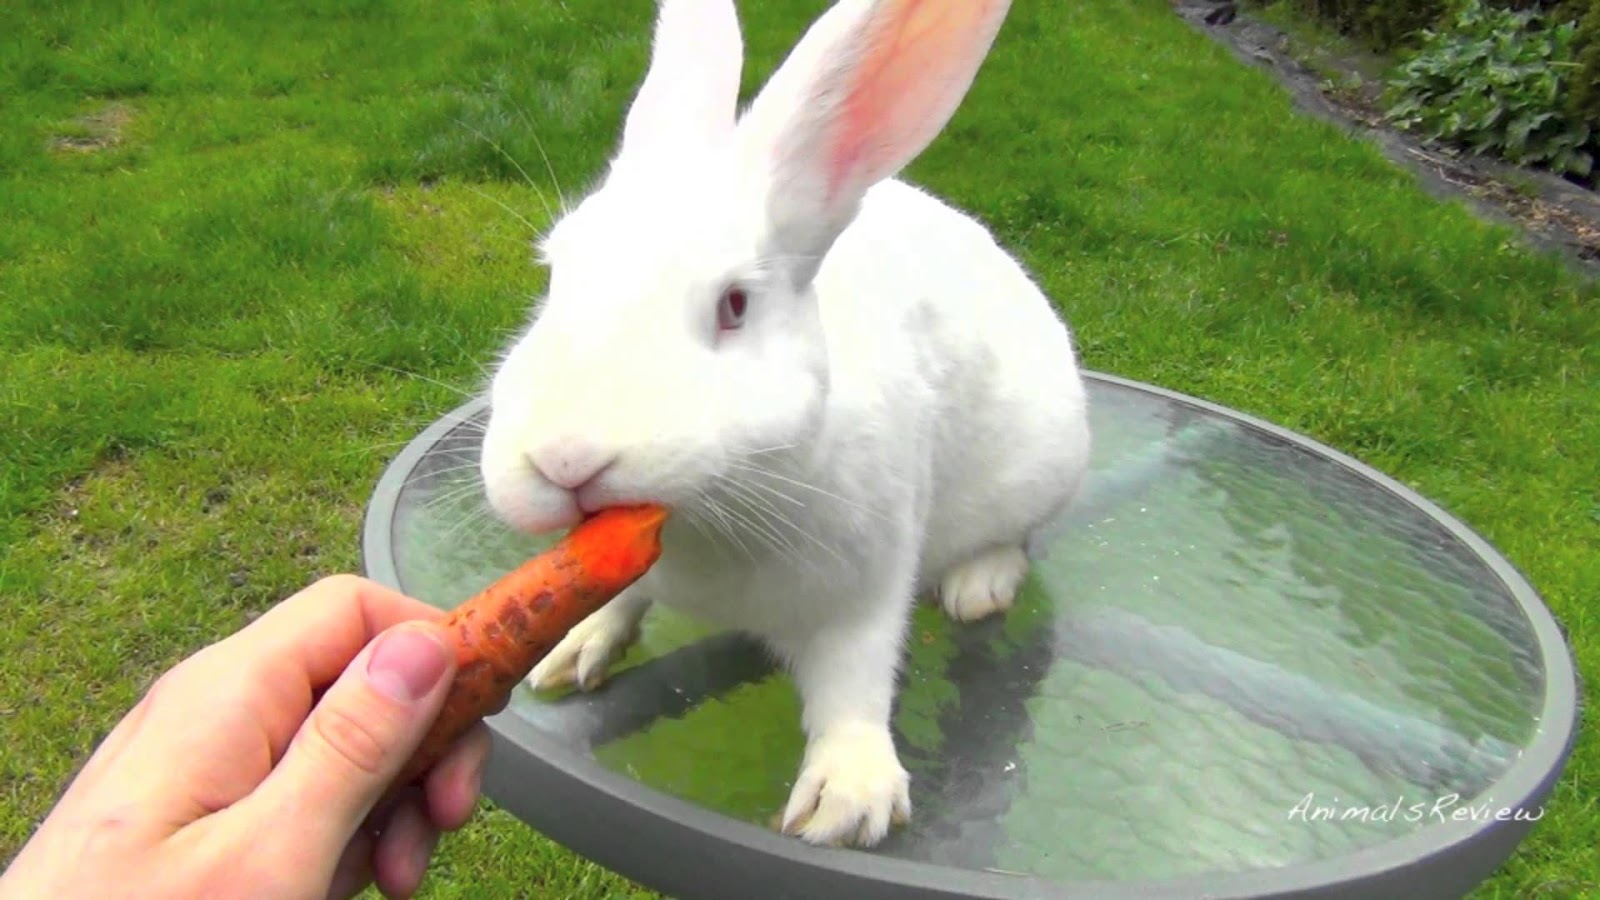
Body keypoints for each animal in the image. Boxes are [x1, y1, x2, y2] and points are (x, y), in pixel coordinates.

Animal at [478, 0, 1090, 848]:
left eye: (735, 305)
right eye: (553, 276)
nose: (564, 459)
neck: (710, 520)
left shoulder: (869, 584)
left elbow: (855, 681)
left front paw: (848, 802)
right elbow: (618, 601)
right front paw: (573, 649)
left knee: (1013, 537)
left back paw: (979, 586)